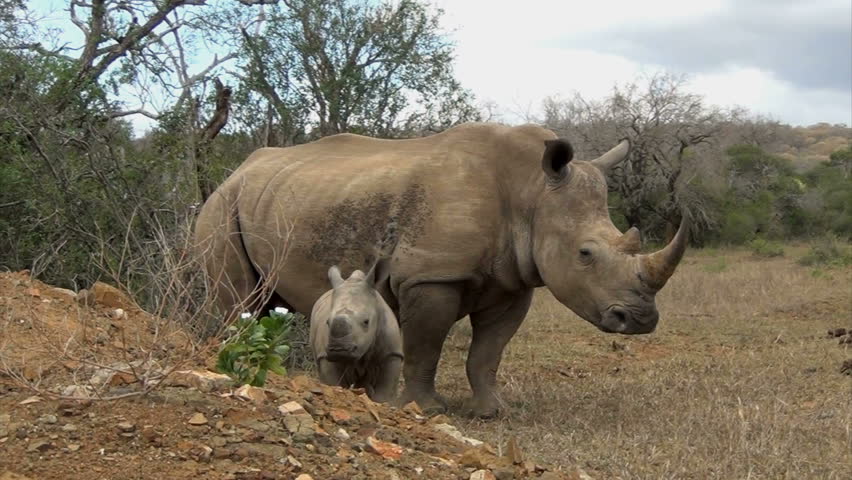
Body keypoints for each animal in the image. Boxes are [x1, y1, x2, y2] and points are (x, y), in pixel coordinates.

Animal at [310, 259, 403, 403]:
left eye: (366, 322)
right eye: (327, 322)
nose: (338, 350)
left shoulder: (392, 354)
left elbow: (385, 391)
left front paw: (382, 403)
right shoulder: (324, 356)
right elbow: (333, 383)